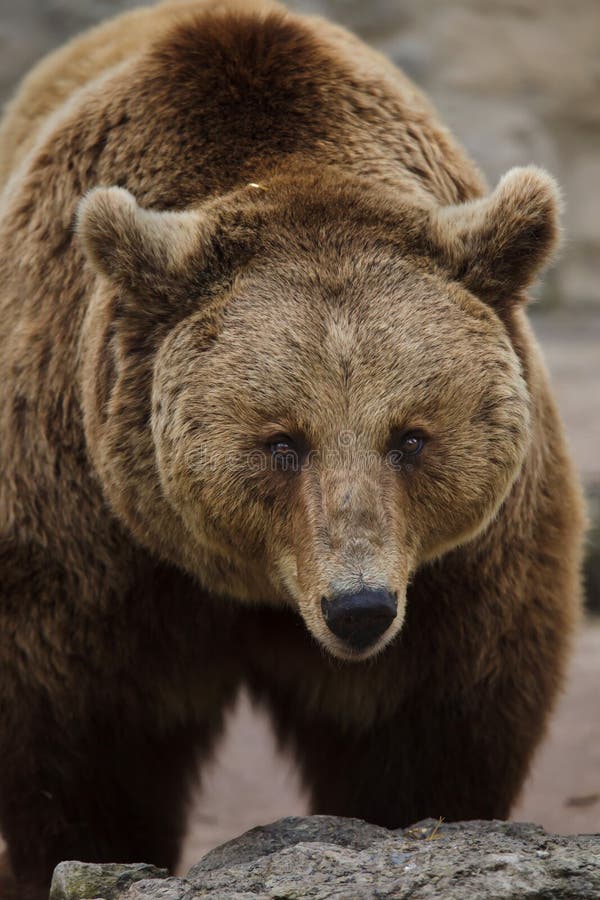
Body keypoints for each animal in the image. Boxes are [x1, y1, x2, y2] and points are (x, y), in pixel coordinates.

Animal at [0, 0, 586, 897]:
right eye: (282, 440)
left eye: (411, 436)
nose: (358, 607)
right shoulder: (82, 524)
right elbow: (83, 741)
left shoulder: (460, 571)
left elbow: (433, 733)